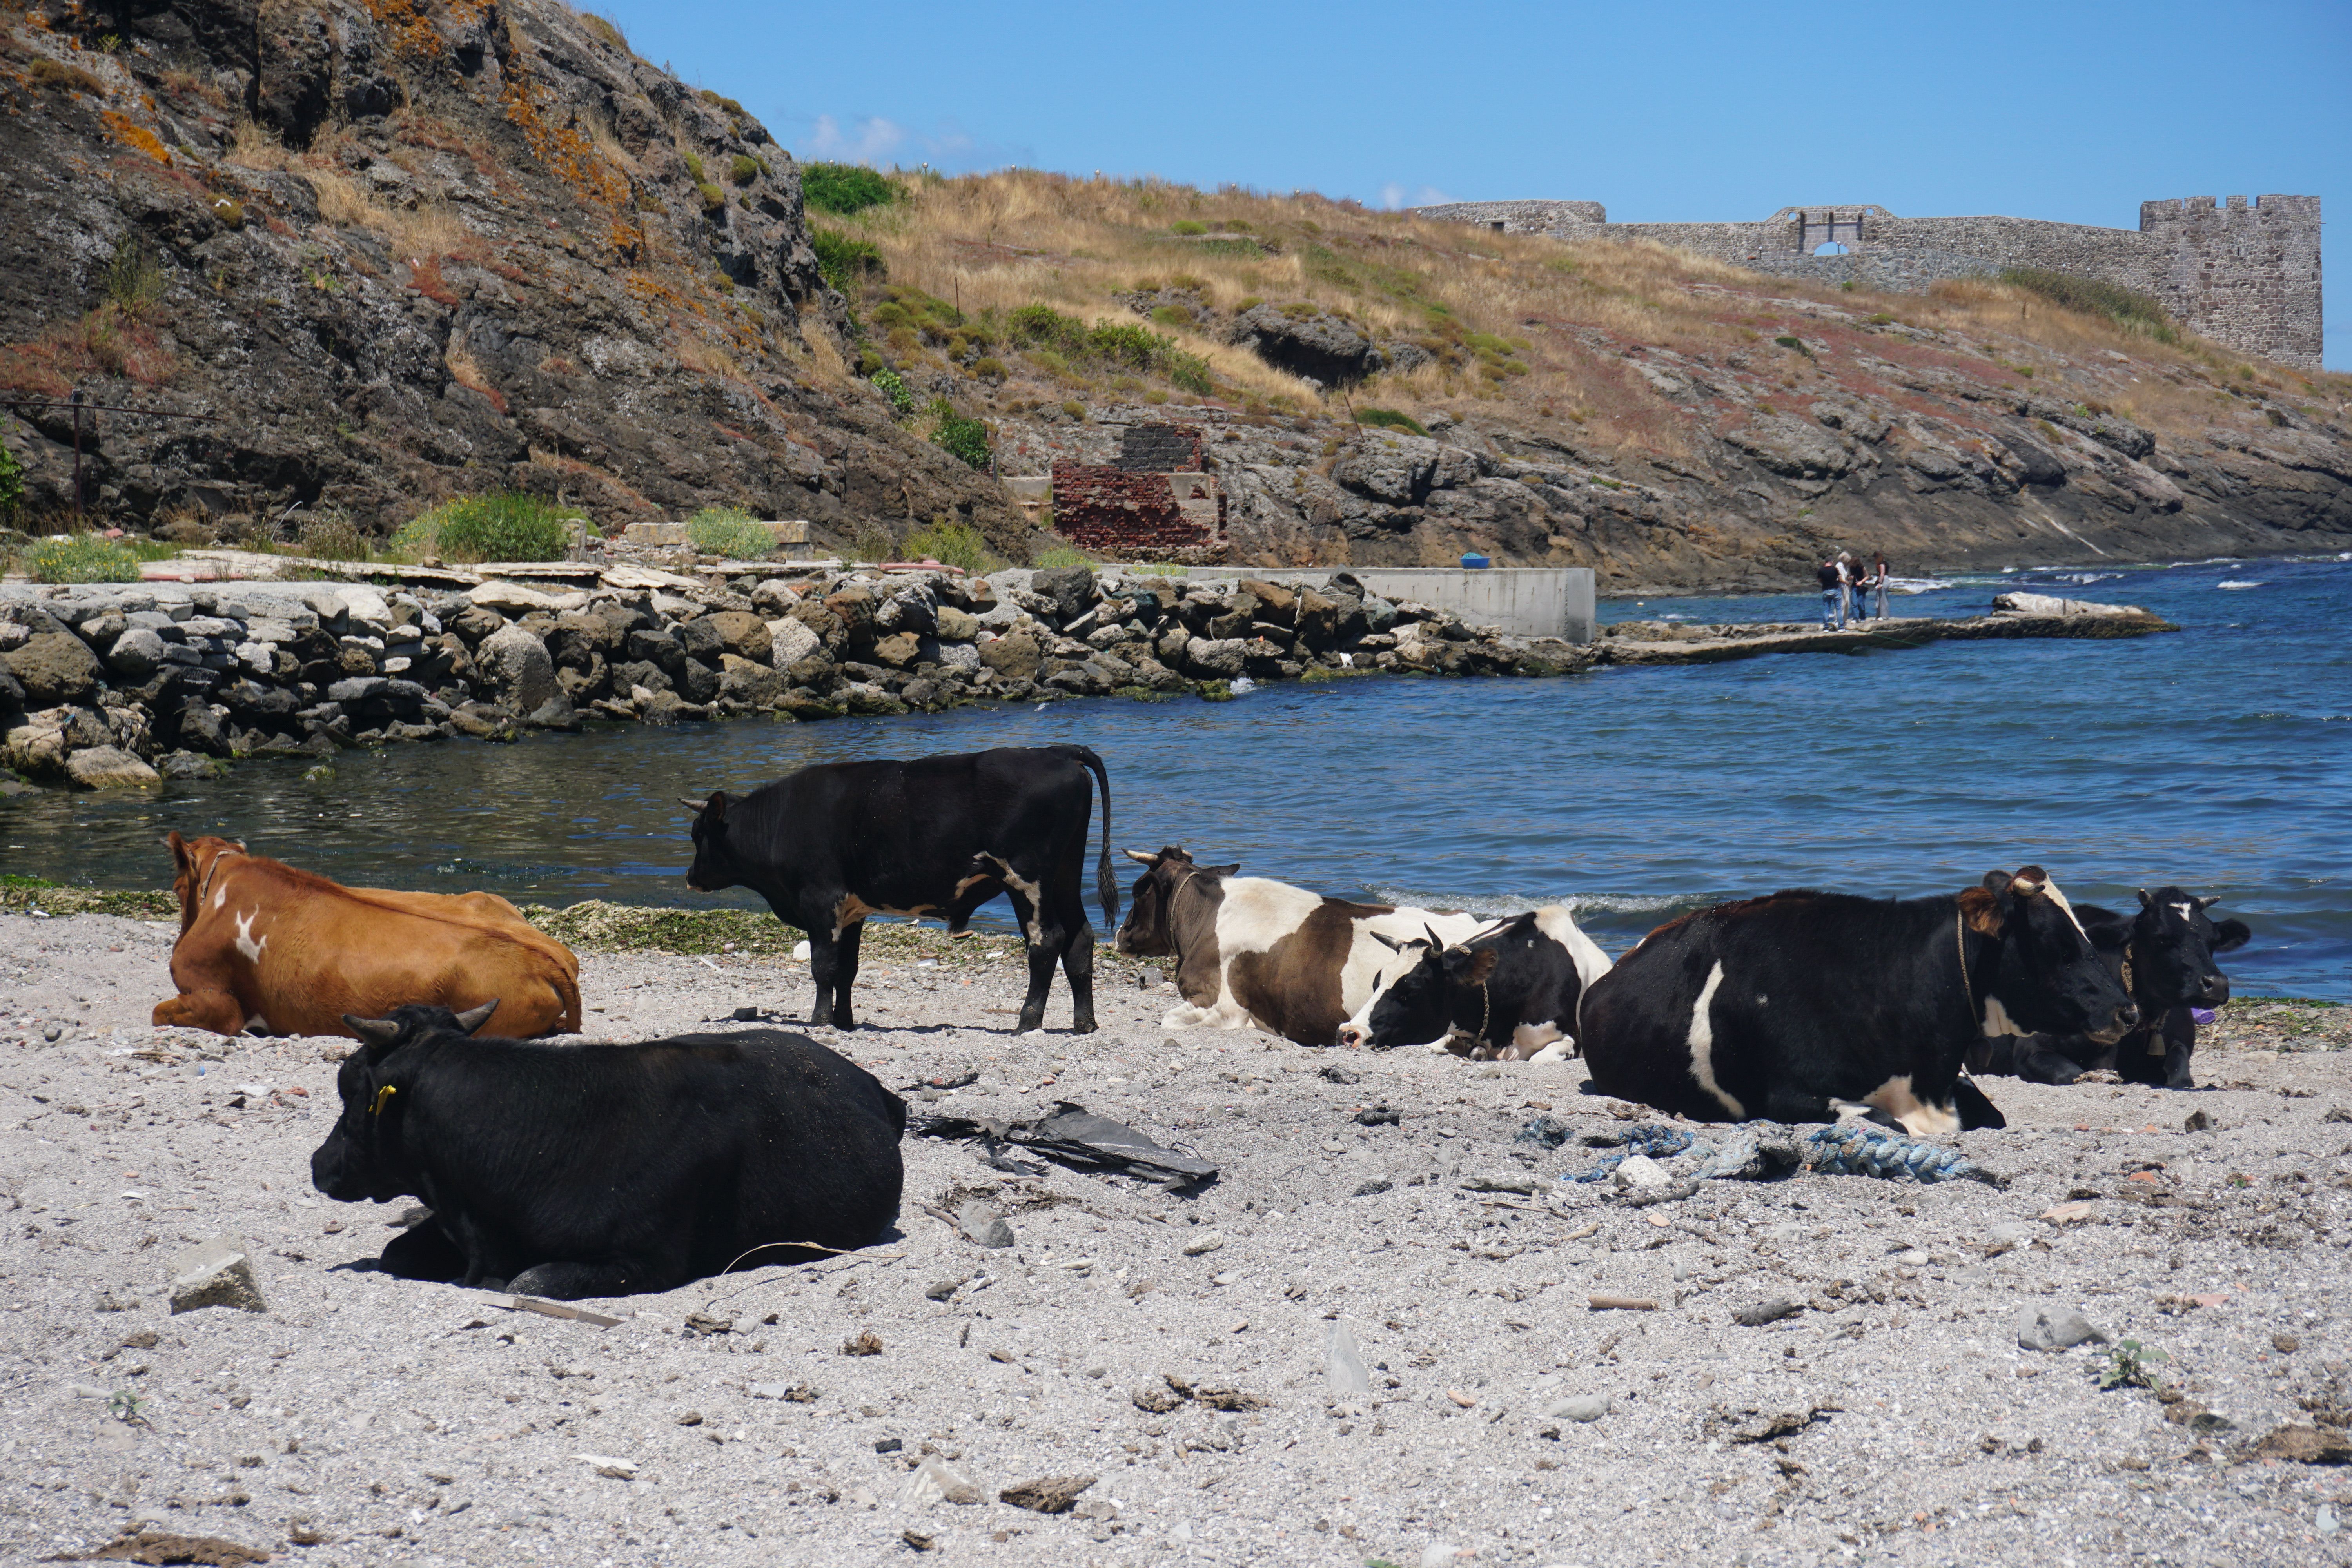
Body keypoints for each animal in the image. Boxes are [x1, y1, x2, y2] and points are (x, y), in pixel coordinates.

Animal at [681, 745, 1115, 1033]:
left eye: (697, 833)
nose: (690, 876)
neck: (782, 821)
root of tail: (1055, 752)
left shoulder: (822, 902)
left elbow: (823, 968)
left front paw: (820, 1022)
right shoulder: (852, 911)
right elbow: (846, 970)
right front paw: (845, 1022)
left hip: (1027, 880)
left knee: (1047, 941)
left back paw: (1027, 1022)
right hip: (1065, 876)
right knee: (1080, 939)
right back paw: (1085, 1023)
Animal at [1970, 887, 2249, 1089]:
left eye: (2214, 940)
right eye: (2161, 937)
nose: (2216, 985)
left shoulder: (2179, 1043)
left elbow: (2181, 1075)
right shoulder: (2030, 1050)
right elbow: (2071, 1074)